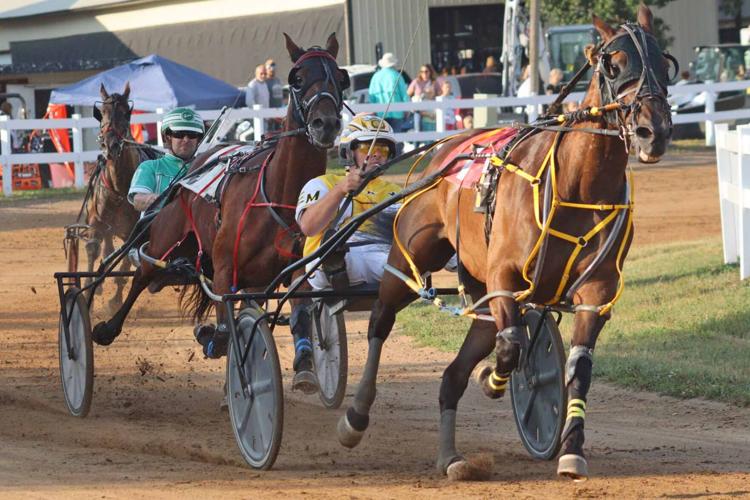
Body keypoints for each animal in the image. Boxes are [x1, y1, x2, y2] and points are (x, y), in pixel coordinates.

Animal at [90, 33, 348, 391]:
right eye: (297, 79)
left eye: (341, 77)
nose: (326, 124)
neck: (278, 197)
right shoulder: (226, 269)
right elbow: (227, 325)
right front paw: (221, 346)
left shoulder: (290, 270)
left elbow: (300, 310)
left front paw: (307, 364)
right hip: (165, 240)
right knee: (142, 274)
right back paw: (108, 327)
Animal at [337, 5, 674, 481]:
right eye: (614, 63)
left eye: (665, 63)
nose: (652, 131)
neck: (578, 185)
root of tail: (446, 148)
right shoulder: (504, 276)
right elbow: (513, 345)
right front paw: (495, 379)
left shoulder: (597, 291)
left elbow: (577, 367)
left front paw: (571, 449)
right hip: (411, 258)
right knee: (380, 321)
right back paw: (355, 416)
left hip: (479, 291)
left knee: (452, 375)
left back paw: (451, 458)